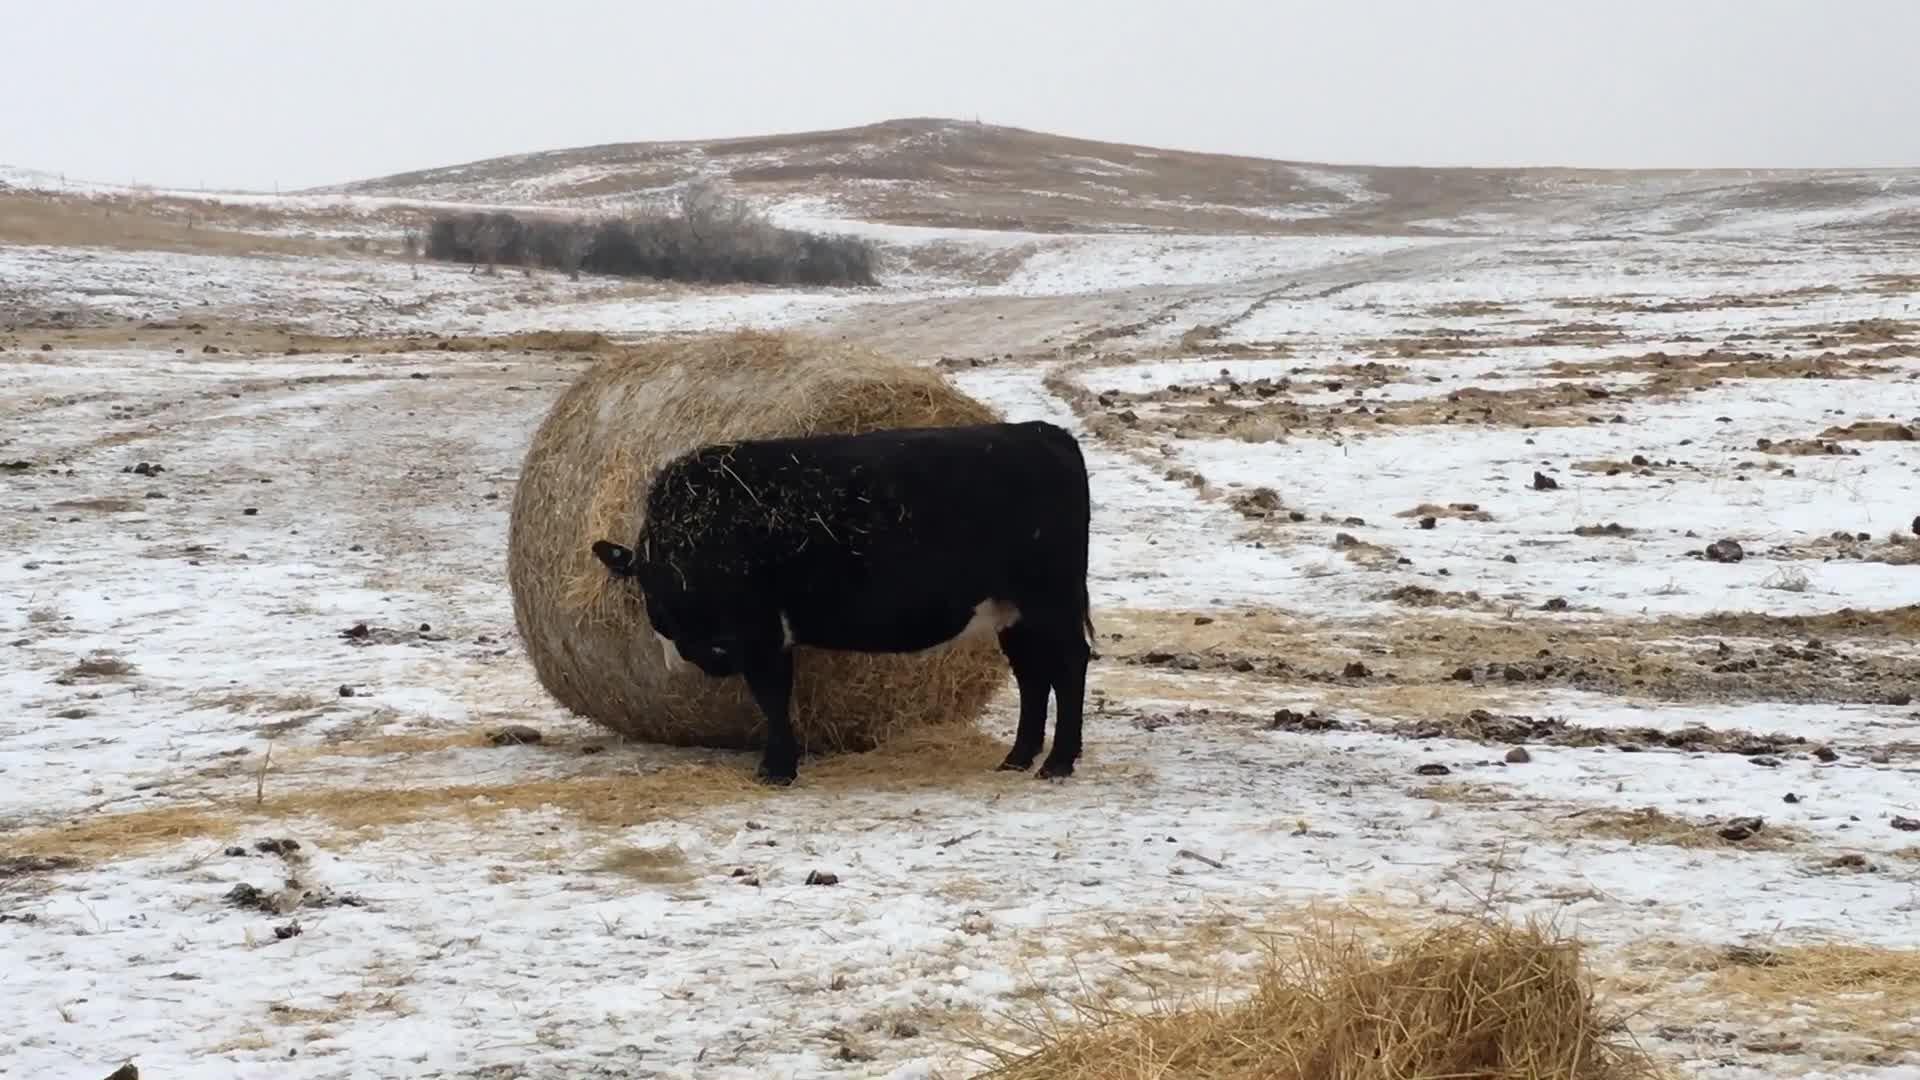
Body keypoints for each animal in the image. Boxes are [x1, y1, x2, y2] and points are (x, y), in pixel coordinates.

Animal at [591, 419, 1094, 787]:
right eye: (650, 579)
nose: (711, 650)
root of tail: (1040, 431)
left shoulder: (760, 633)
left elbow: (772, 698)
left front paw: (777, 770)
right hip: (1015, 611)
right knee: (1034, 675)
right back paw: (1019, 758)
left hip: (1051, 601)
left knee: (1069, 665)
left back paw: (1058, 762)